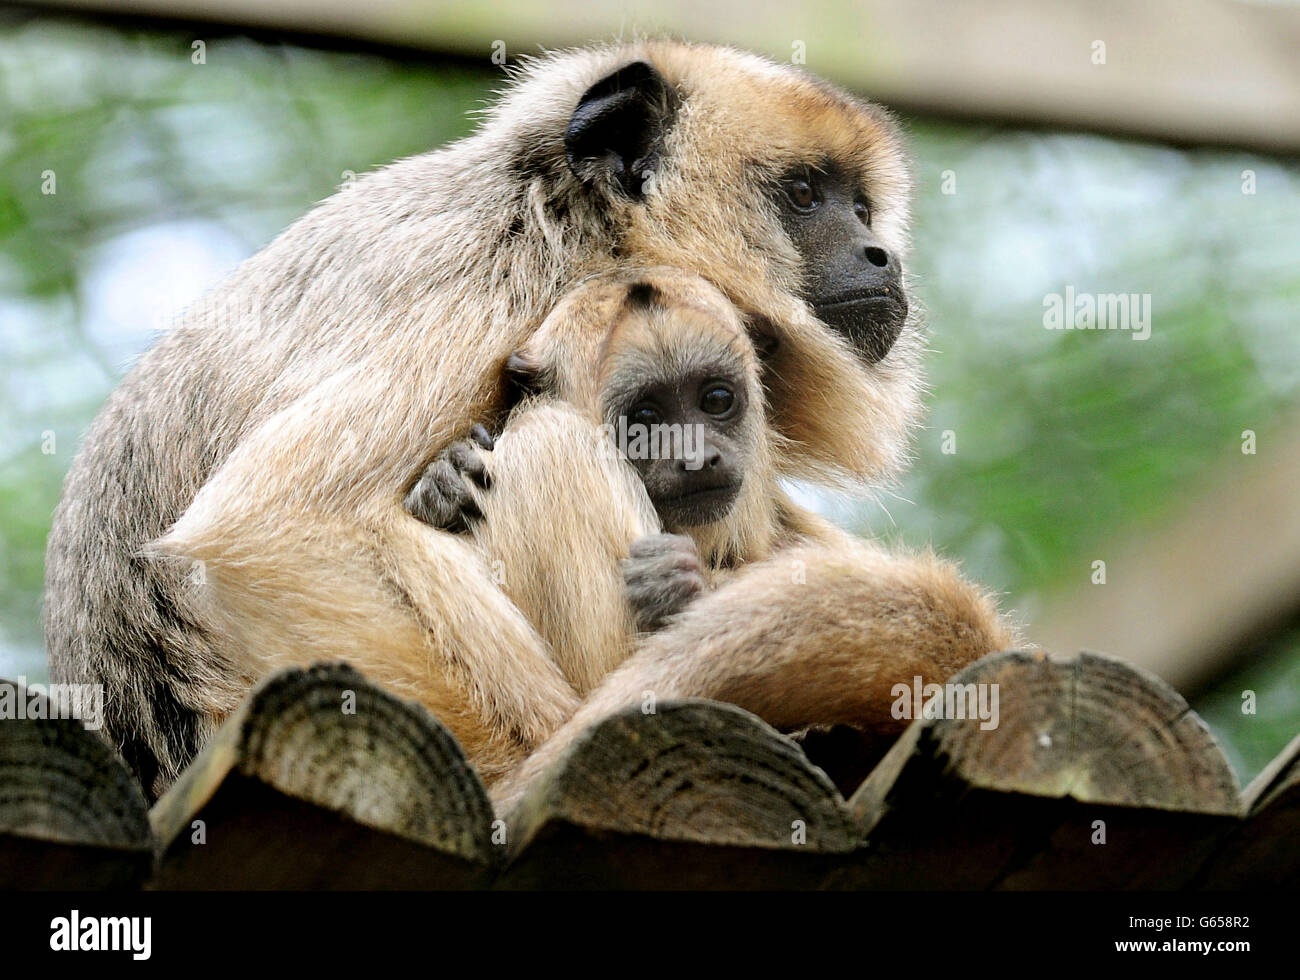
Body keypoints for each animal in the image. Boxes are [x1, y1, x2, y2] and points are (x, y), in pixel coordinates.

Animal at [43, 39, 1017, 803]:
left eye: (861, 205)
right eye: (808, 196)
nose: (880, 253)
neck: (579, 226)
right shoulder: (488, 286)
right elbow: (266, 529)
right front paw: (530, 772)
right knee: (549, 445)